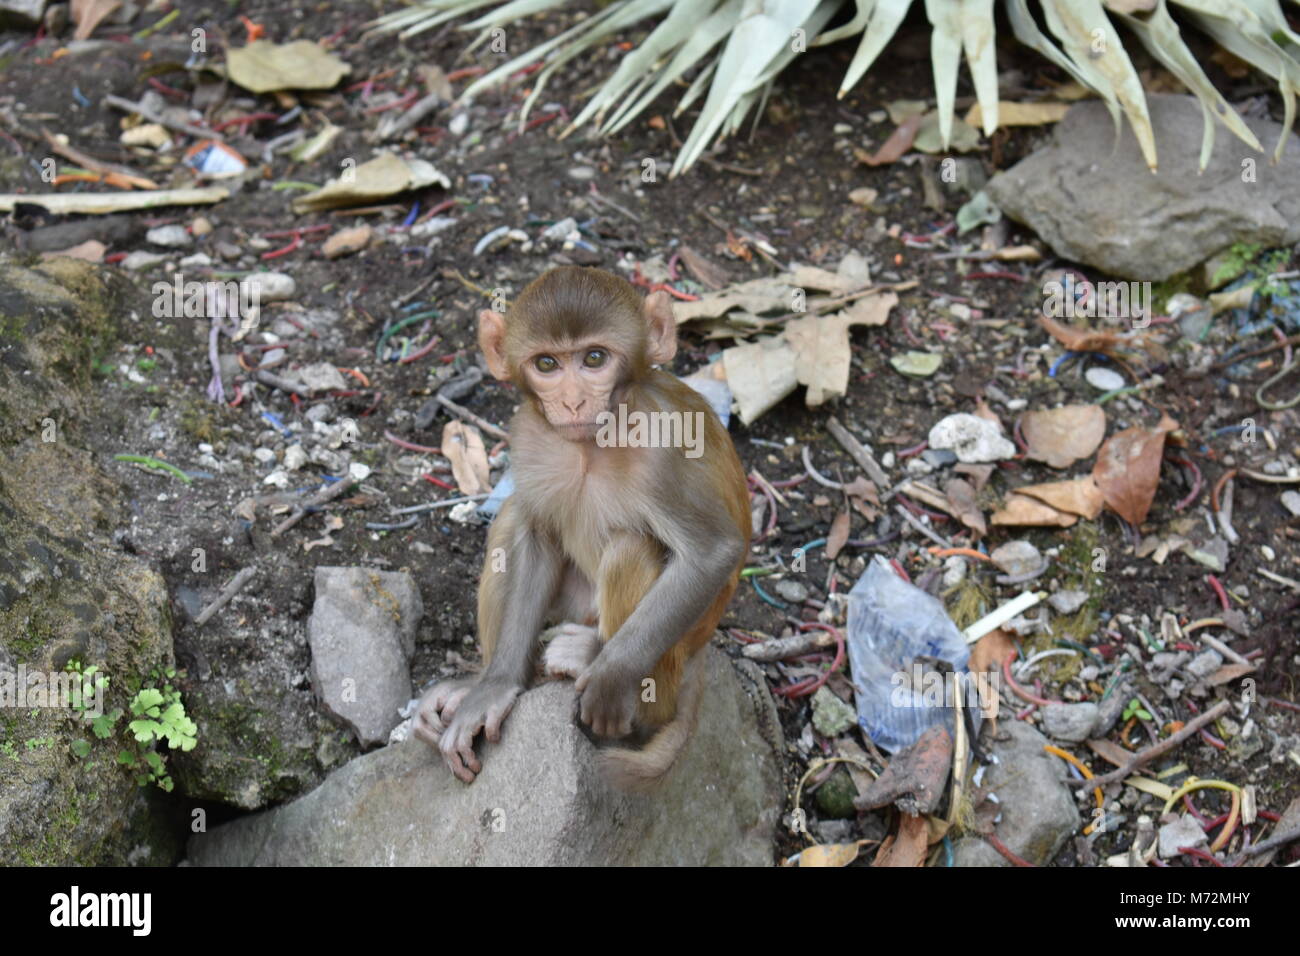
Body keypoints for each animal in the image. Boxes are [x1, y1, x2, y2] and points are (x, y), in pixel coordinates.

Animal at [413, 266, 751, 791]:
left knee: (632, 547)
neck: (593, 445)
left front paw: (611, 680)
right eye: (547, 363)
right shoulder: (528, 435)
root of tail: (700, 651)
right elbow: (535, 534)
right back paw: (483, 682)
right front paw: (496, 687)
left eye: (595, 358)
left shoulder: (664, 449)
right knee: (512, 516)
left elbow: (712, 552)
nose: (572, 402)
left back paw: (604, 671)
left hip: (668, 657)